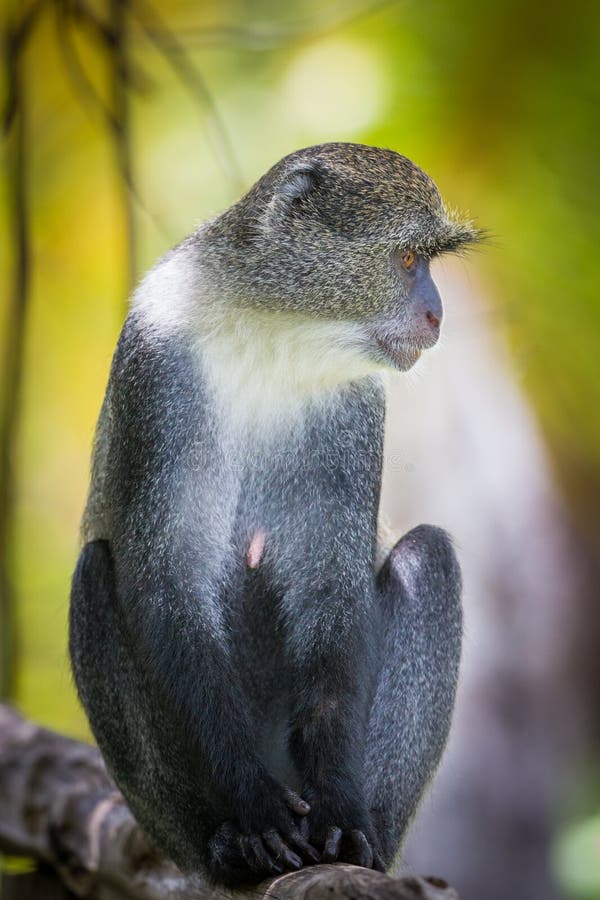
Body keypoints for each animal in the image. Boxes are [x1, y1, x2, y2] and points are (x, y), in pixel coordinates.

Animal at [69, 143, 478, 886]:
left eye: (429, 261)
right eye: (409, 259)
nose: (437, 315)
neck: (277, 329)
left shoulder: (356, 405)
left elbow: (331, 591)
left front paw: (343, 812)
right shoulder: (158, 361)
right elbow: (168, 582)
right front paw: (254, 812)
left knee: (429, 556)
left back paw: (367, 843)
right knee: (94, 575)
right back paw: (231, 848)